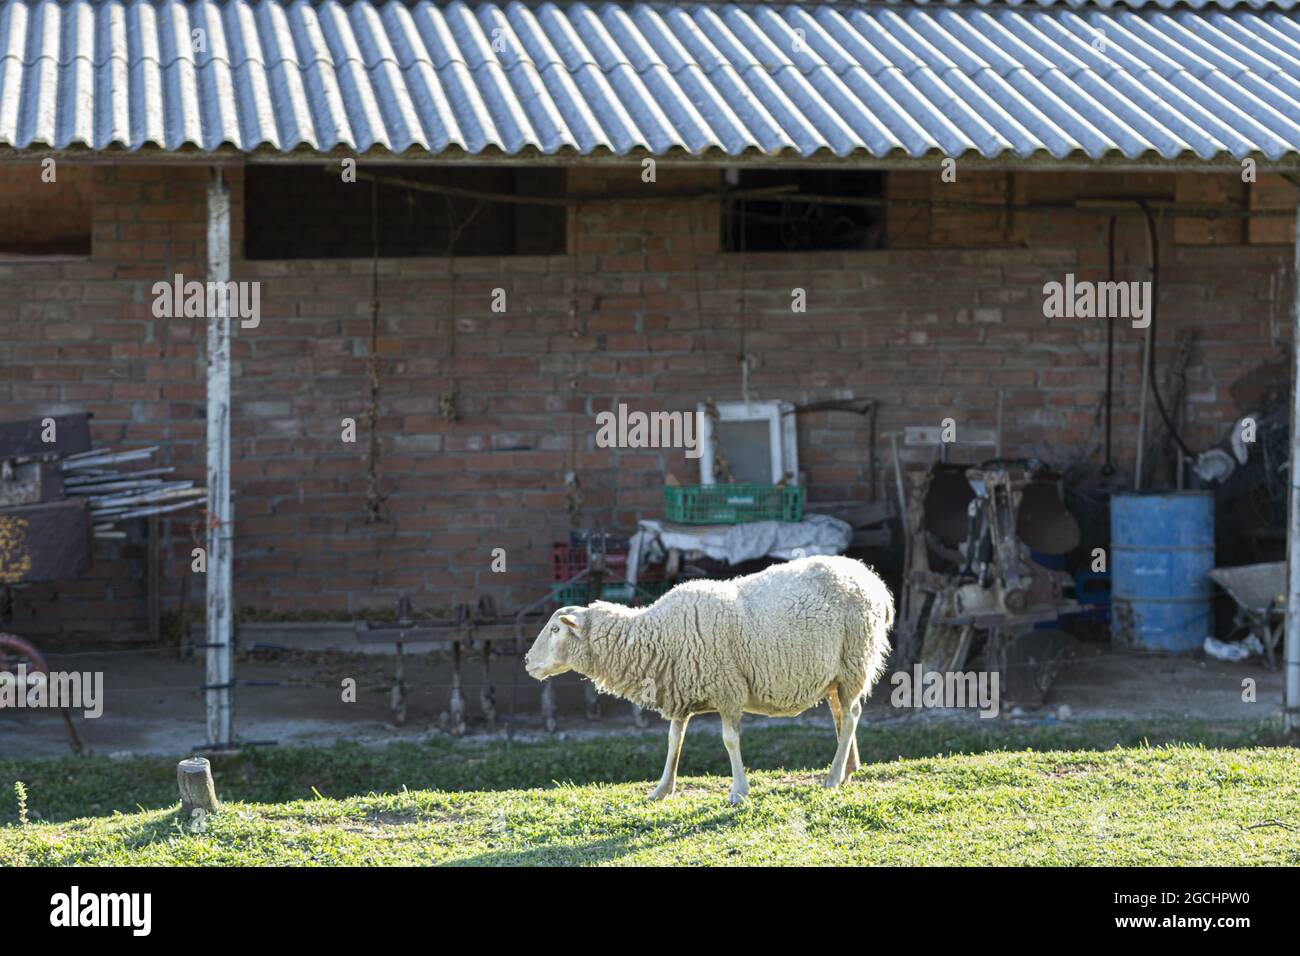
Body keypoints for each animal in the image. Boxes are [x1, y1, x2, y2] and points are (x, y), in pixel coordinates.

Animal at [525, 554, 894, 803]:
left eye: (555, 629)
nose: (527, 662)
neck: (660, 634)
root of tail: (874, 580)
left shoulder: (728, 689)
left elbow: (729, 740)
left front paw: (739, 791)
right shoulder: (679, 692)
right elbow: (673, 741)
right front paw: (662, 789)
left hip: (855, 658)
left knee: (852, 714)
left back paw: (833, 777)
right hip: (835, 672)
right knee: (840, 712)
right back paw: (847, 769)